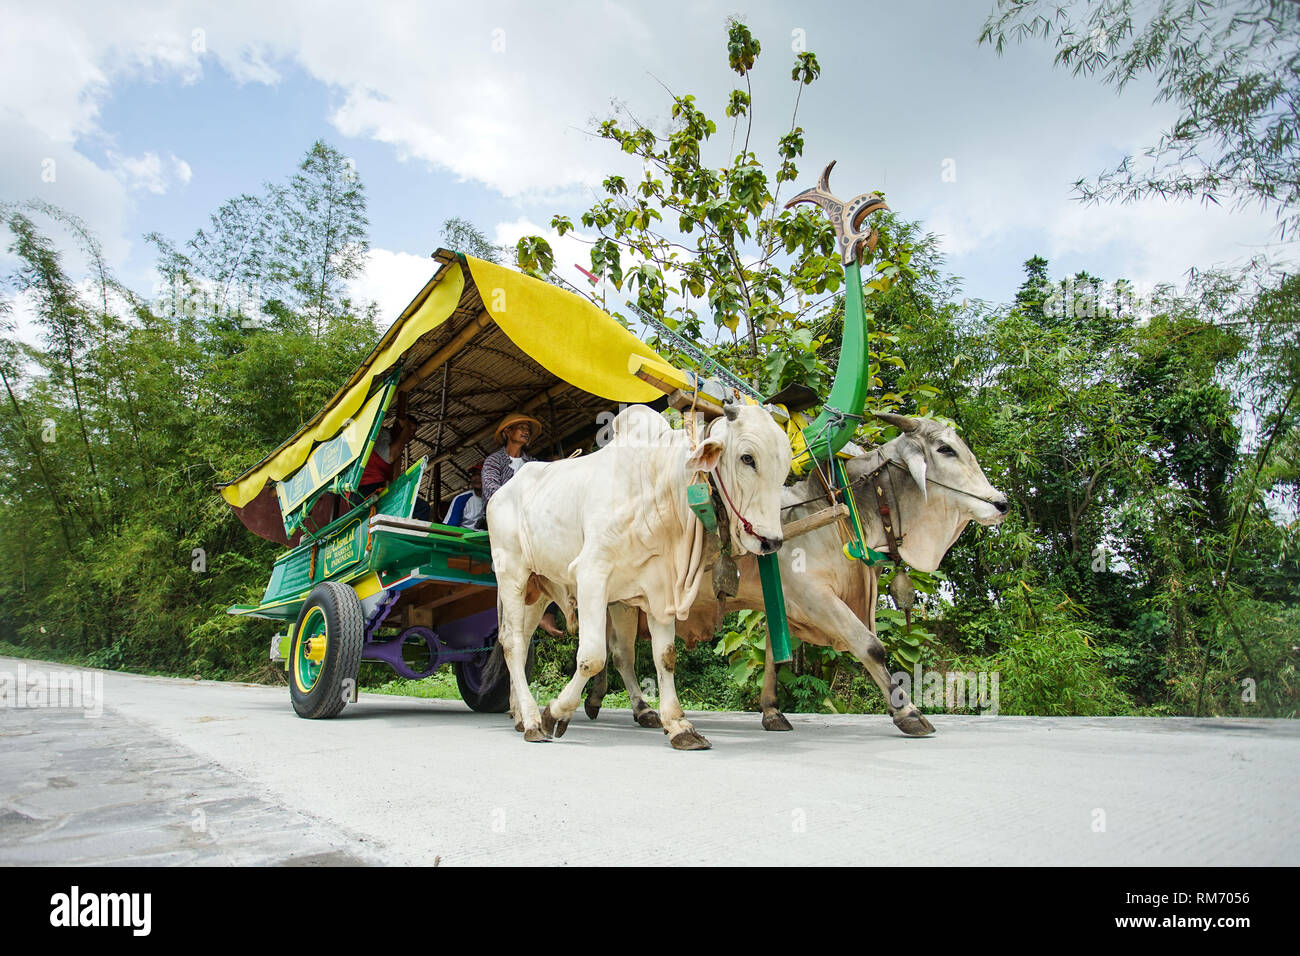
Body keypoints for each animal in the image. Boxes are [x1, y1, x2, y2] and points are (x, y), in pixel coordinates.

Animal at [486, 402, 792, 749]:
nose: (771, 541)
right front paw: (555, 713)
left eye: (785, 466)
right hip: (511, 574)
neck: (661, 486)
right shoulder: (592, 573)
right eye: (747, 458)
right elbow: (592, 657)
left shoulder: (661, 588)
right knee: (512, 643)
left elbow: (665, 656)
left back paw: (520, 715)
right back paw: (533, 720)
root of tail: (502, 493)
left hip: (537, 589)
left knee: (522, 641)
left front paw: (678, 725)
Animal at [586, 412, 1009, 735]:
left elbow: (776, 656)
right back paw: (640, 708)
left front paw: (772, 711)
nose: (1001, 503)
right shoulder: (816, 597)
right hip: (625, 601)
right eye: (945, 449)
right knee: (622, 655)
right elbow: (870, 645)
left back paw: (597, 699)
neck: (837, 516)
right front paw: (908, 712)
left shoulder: (784, 602)